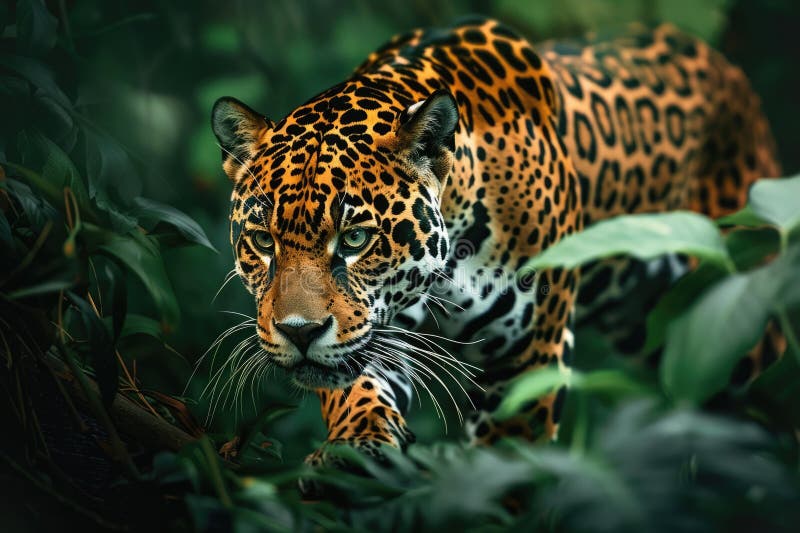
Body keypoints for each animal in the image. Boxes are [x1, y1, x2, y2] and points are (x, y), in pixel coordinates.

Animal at [210, 16, 780, 483]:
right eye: (263, 242)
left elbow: (508, 463)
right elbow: (356, 384)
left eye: (354, 239)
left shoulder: (532, 354)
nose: (299, 333)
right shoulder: (377, 332)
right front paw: (356, 449)